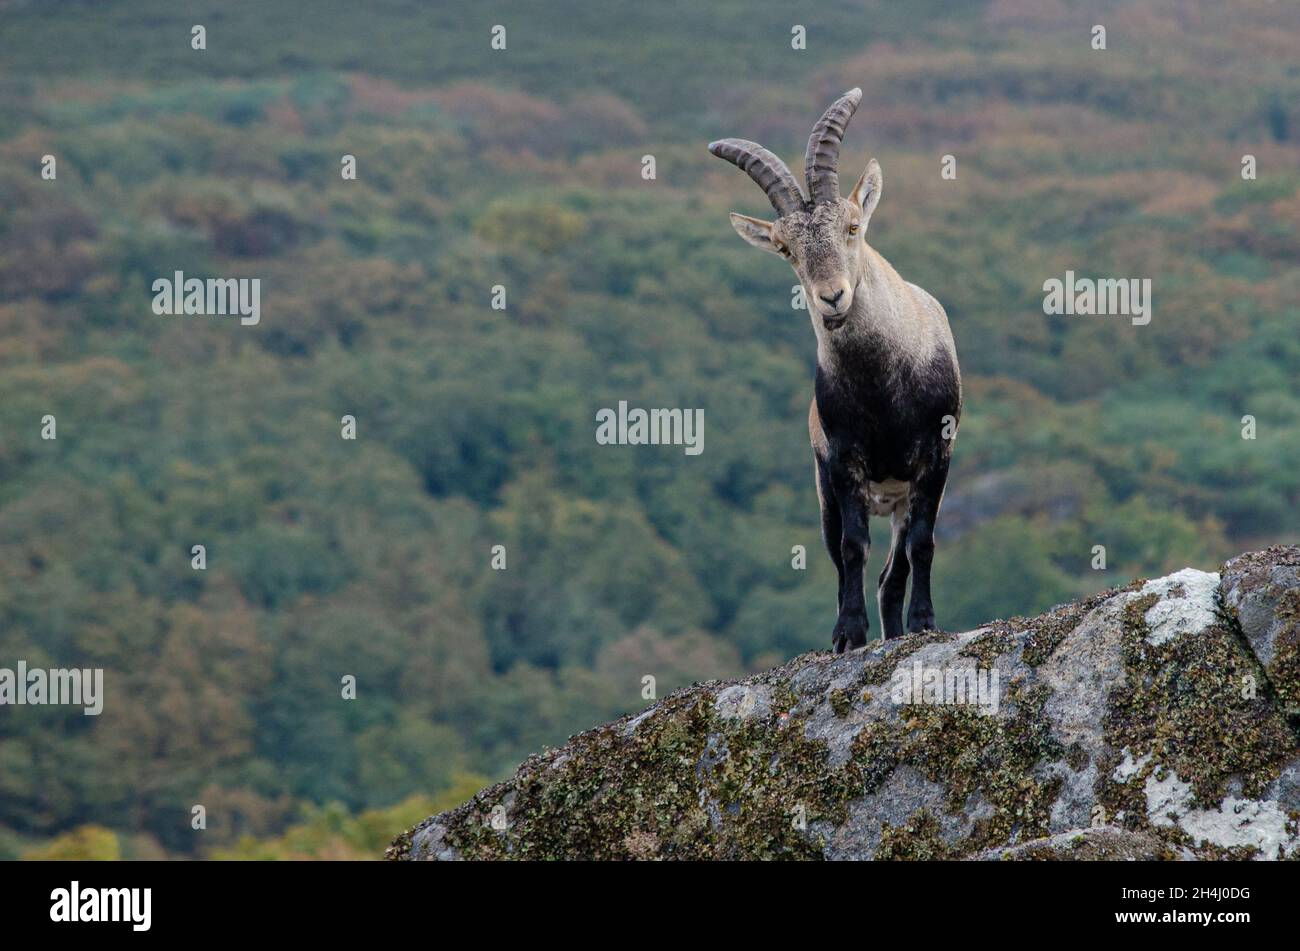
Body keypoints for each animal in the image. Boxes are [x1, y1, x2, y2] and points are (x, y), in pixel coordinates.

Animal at [709, 88, 961, 651]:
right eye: (786, 248)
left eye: (851, 226)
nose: (832, 298)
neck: (881, 384)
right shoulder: (843, 463)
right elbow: (851, 550)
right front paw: (848, 635)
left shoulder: (935, 456)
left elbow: (924, 545)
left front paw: (925, 624)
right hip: (829, 489)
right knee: (856, 563)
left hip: (901, 495)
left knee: (894, 574)